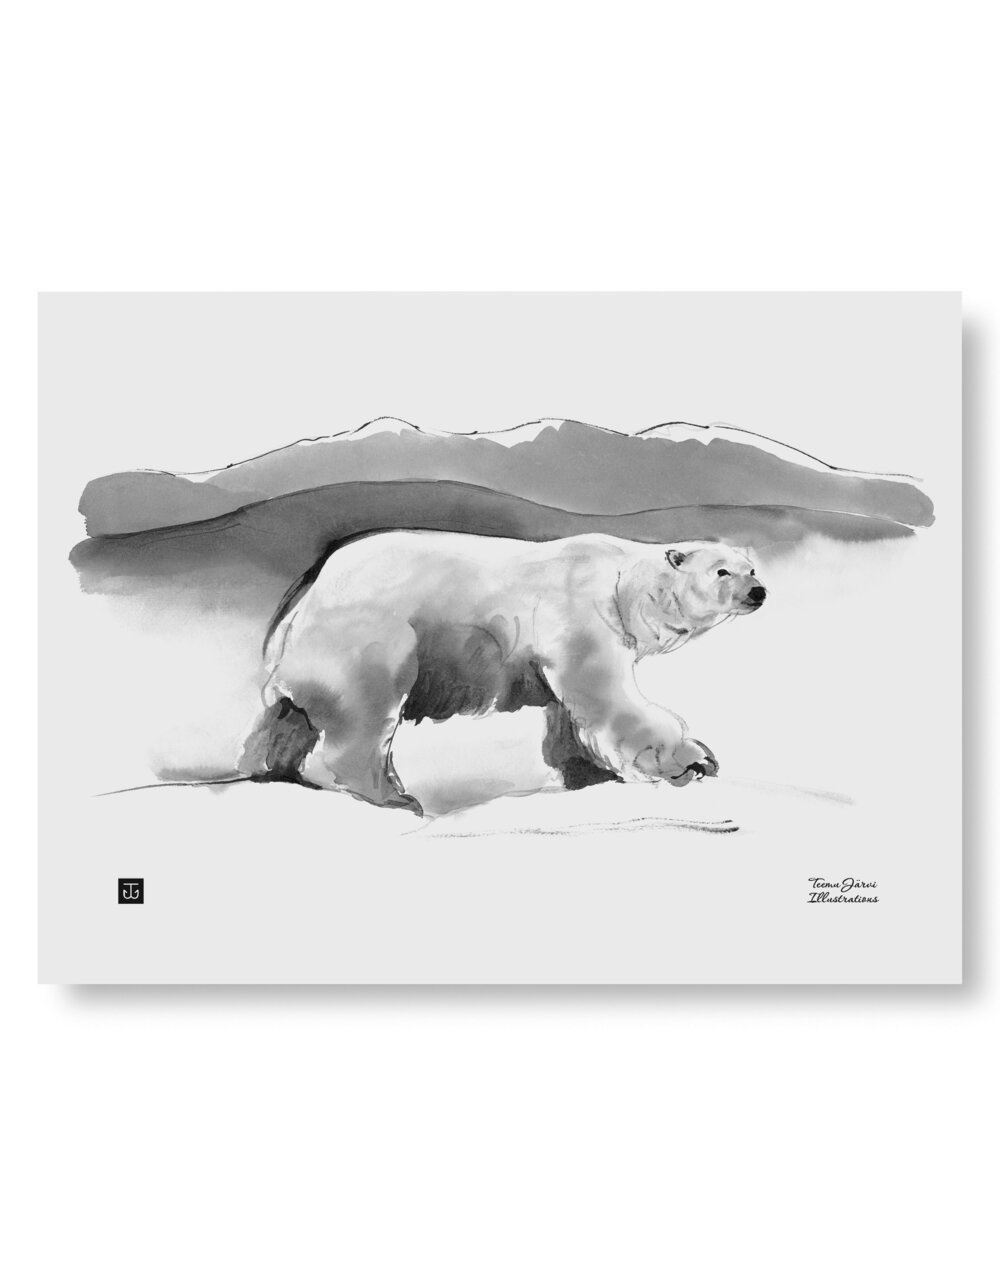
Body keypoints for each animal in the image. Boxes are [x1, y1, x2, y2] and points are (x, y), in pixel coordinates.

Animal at [239, 531, 767, 815]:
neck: (624, 582)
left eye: (752, 567)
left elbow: (567, 713)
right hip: (372, 634)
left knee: (286, 713)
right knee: (365, 713)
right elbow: (605, 693)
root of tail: (307, 592)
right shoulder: (582, 612)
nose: (758, 592)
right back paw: (394, 797)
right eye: (722, 571)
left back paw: (270, 768)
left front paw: (586, 773)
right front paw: (692, 760)